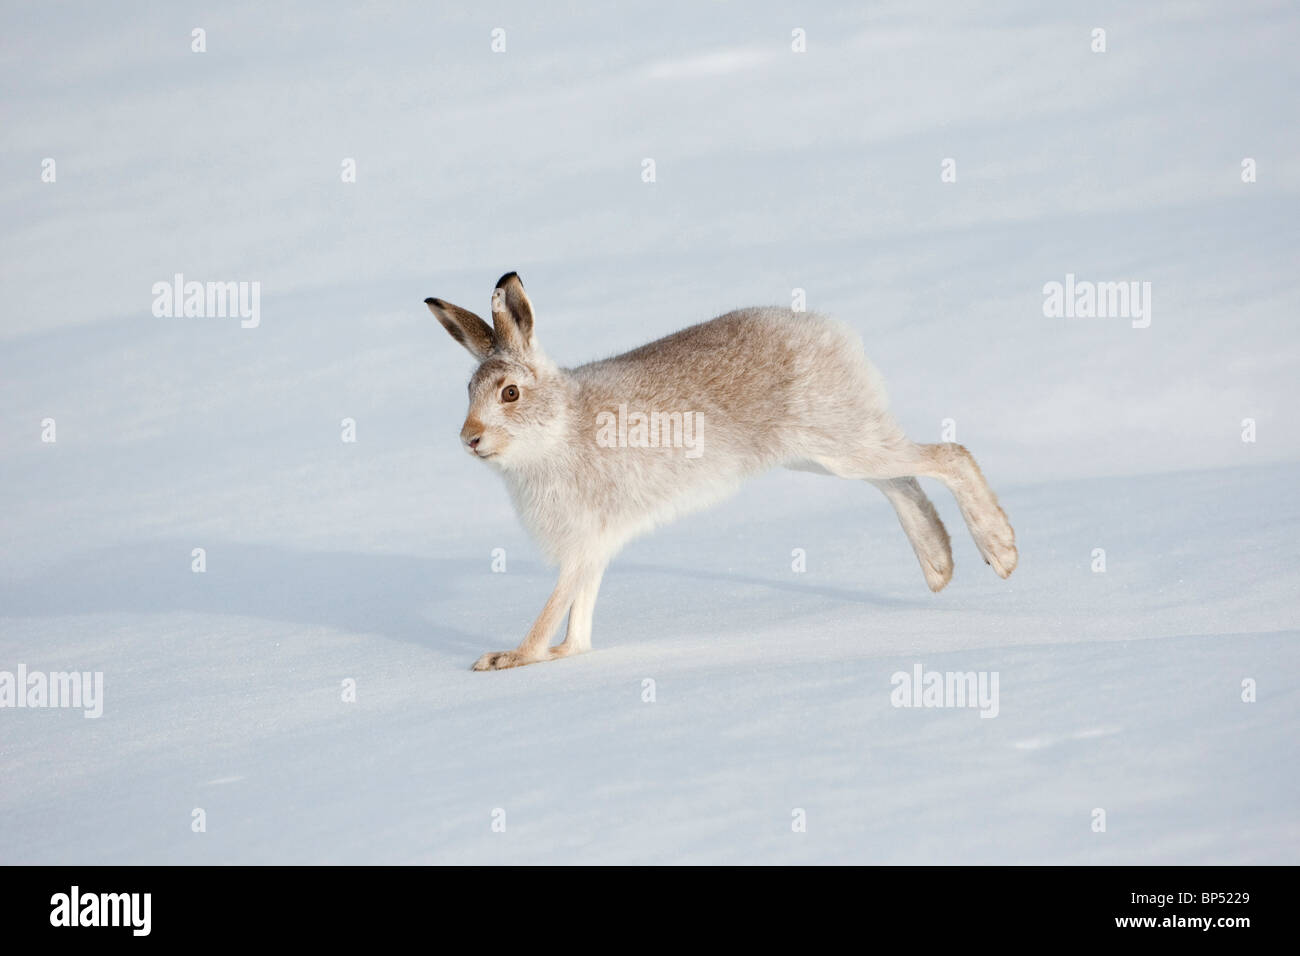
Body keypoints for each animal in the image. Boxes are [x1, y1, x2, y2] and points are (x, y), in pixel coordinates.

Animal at [426, 272, 1017, 671]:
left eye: (510, 394)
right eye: (468, 392)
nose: (470, 439)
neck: (556, 429)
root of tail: (830, 330)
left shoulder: (584, 539)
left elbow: (554, 607)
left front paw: (511, 658)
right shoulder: (594, 547)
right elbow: (578, 625)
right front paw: (562, 654)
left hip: (838, 442)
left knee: (948, 455)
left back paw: (1001, 551)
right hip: (825, 452)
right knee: (902, 480)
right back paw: (940, 567)